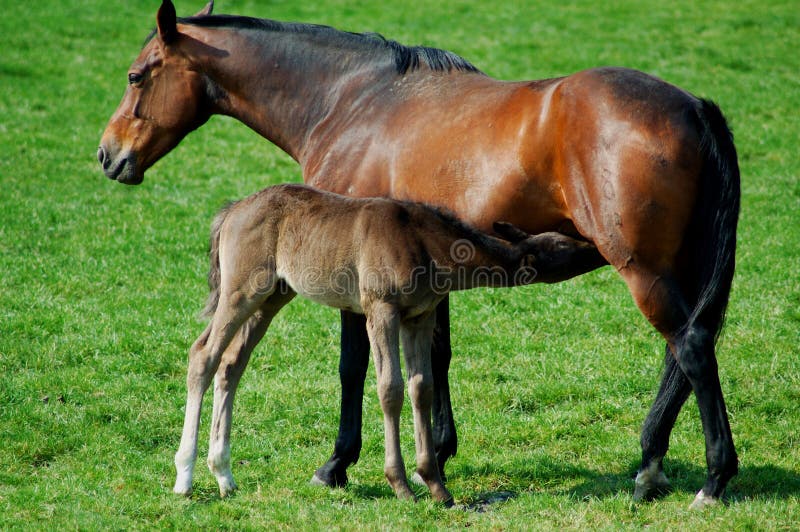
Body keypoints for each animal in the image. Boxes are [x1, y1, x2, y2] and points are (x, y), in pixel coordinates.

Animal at [173, 182, 599, 503]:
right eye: (564, 245)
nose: (596, 245)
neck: (424, 242)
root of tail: (232, 210)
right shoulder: (380, 309)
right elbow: (390, 388)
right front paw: (401, 484)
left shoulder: (419, 317)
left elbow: (422, 387)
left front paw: (436, 485)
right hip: (241, 290)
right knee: (203, 355)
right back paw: (185, 478)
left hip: (273, 296)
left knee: (232, 363)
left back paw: (224, 476)